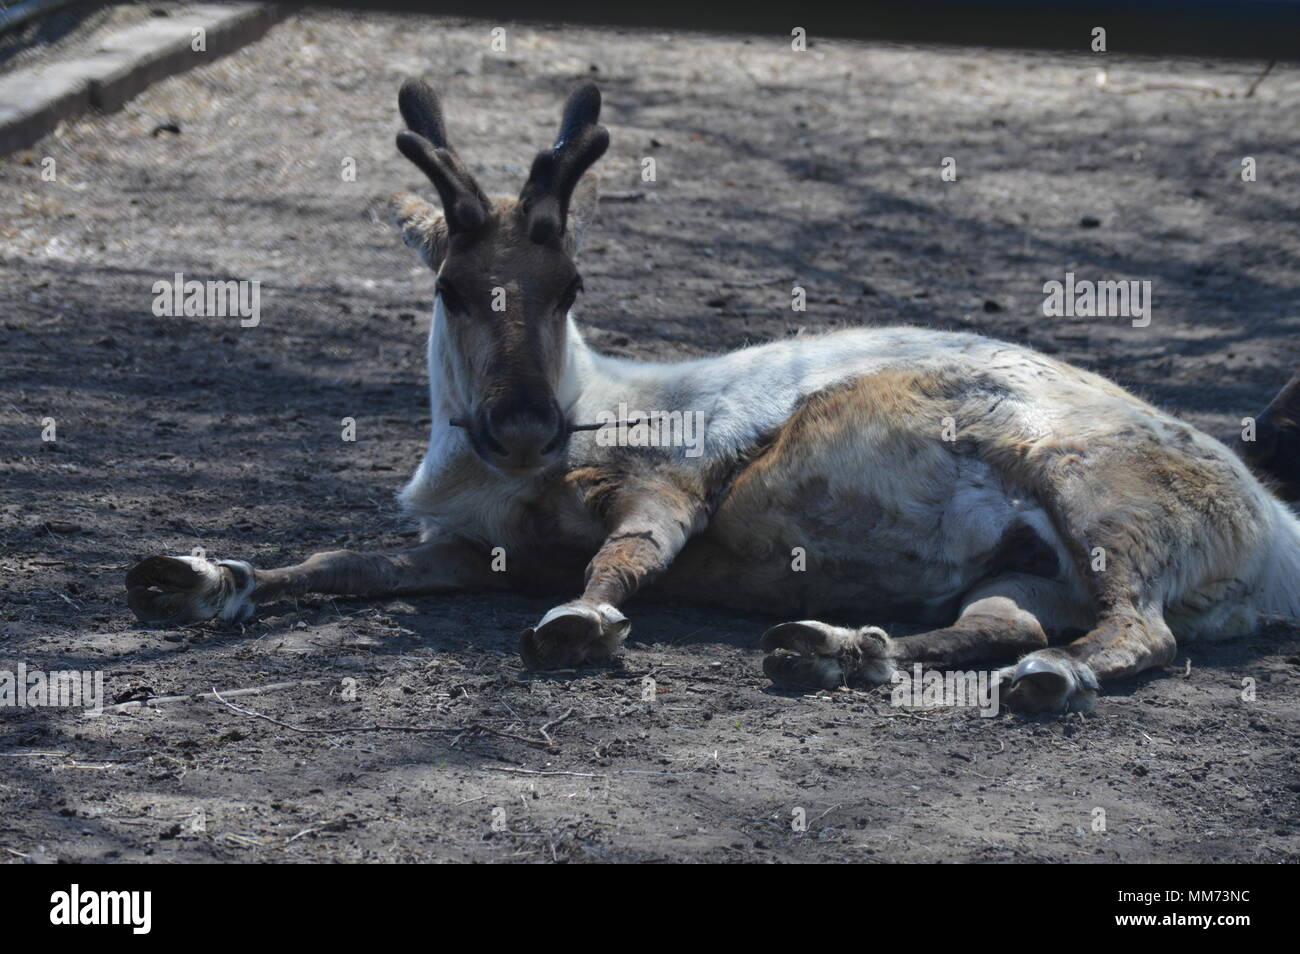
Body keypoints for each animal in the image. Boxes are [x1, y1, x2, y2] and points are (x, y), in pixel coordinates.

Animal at [124, 80, 1300, 714]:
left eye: (572, 283)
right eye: (451, 287)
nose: (524, 425)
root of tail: (1273, 533)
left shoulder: (667, 483)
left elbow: (625, 555)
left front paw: (580, 626)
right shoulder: (465, 549)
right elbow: (334, 561)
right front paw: (190, 579)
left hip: (1098, 496)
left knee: (1139, 631)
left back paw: (1046, 682)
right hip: (1034, 565)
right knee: (1000, 617)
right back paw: (831, 649)